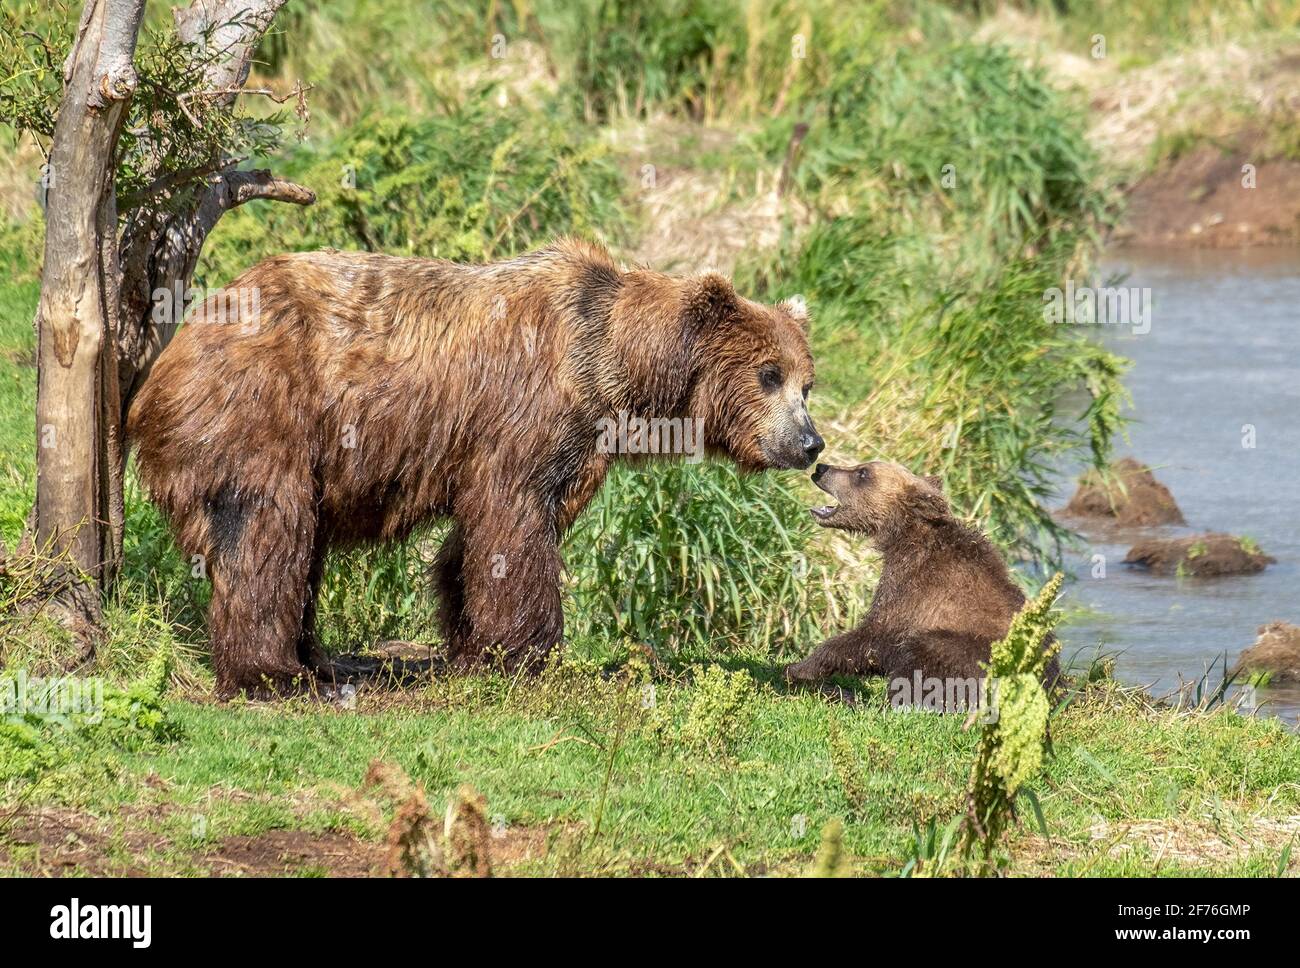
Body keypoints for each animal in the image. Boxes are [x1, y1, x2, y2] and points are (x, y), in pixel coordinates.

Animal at [127, 239, 823, 697]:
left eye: (807, 383)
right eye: (769, 374)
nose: (810, 443)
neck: (612, 368)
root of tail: (164, 360)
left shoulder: (569, 446)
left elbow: (480, 540)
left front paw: (471, 645)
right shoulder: (526, 412)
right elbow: (512, 523)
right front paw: (529, 654)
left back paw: (320, 658)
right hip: (262, 412)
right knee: (266, 529)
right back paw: (274, 673)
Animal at [784, 461, 1060, 706]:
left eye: (863, 473)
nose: (821, 468)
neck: (905, 536)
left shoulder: (915, 585)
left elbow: (875, 634)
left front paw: (800, 667)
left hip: (973, 652)